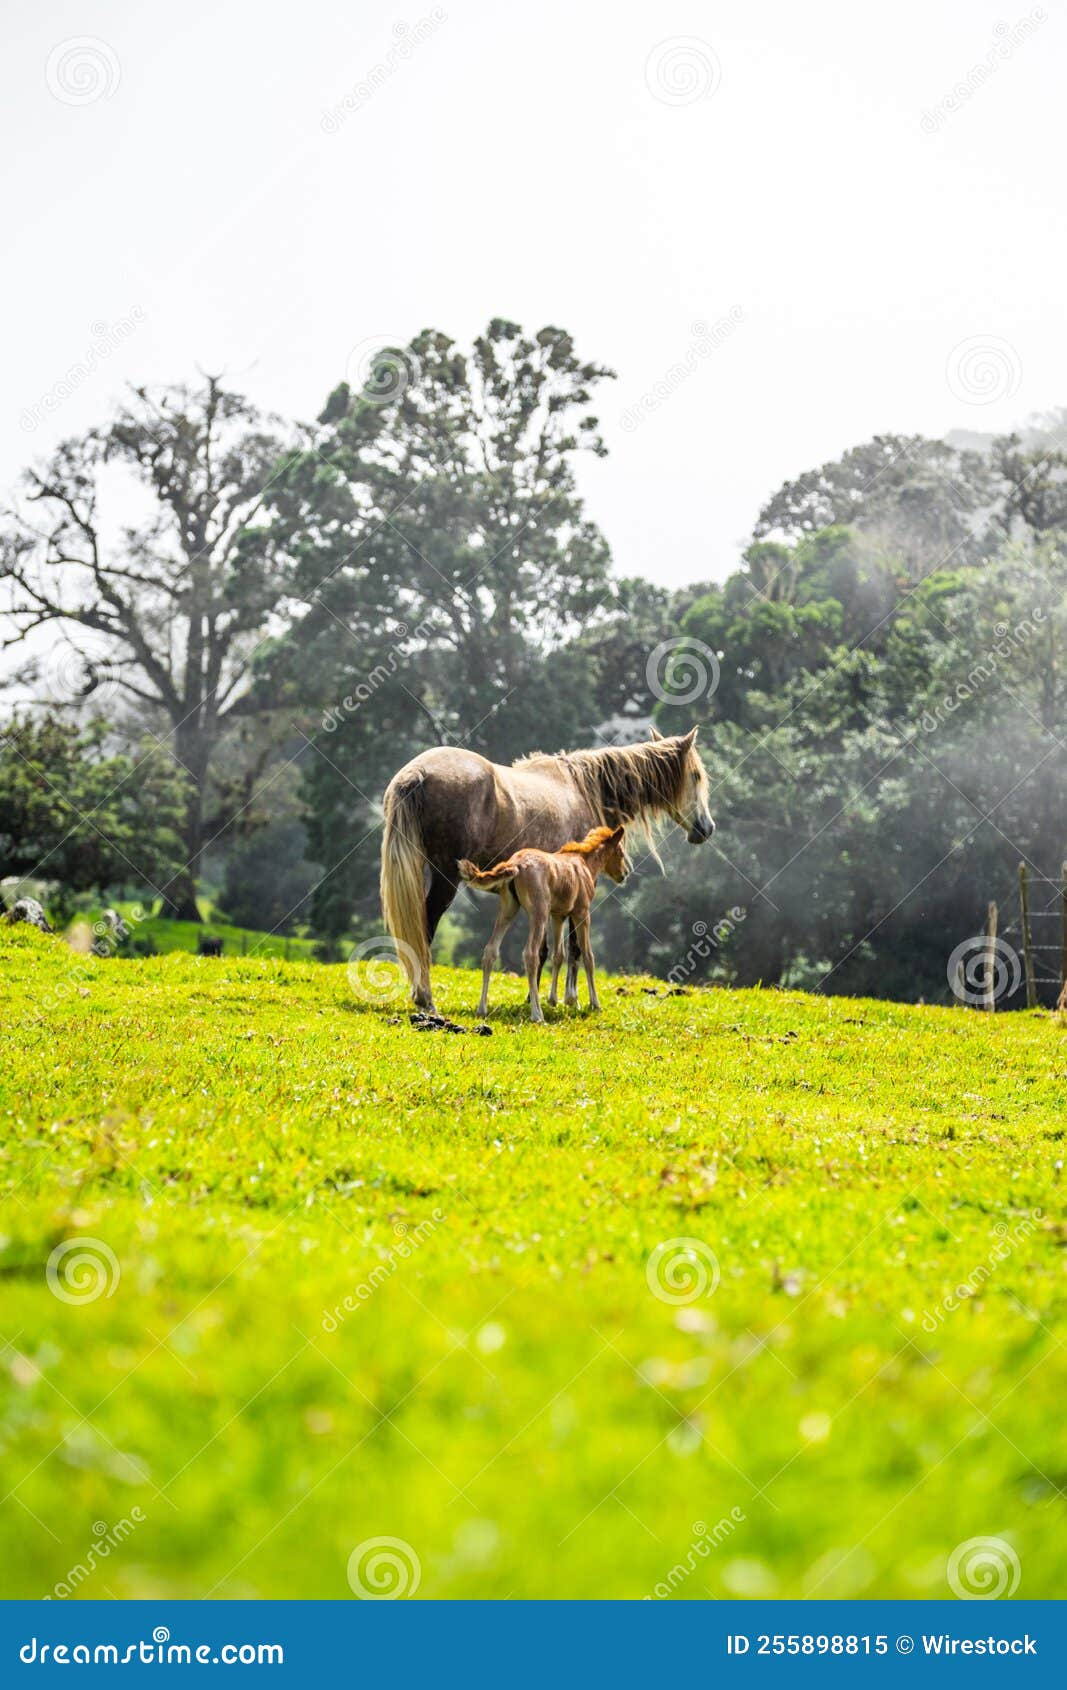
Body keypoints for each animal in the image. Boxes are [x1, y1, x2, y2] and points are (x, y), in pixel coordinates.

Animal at [460, 825, 629, 1023]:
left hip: (508, 909)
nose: (624, 874)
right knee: (530, 954)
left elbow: (558, 955)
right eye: (620, 852)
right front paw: (595, 1005)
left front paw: (553, 1000)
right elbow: (588, 956)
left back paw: (482, 1009)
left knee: (490, 951)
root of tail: (515, 864)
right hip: (539, 913)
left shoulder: (557, 915)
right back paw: (537, 1014)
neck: (585, 864)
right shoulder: (582, 913)